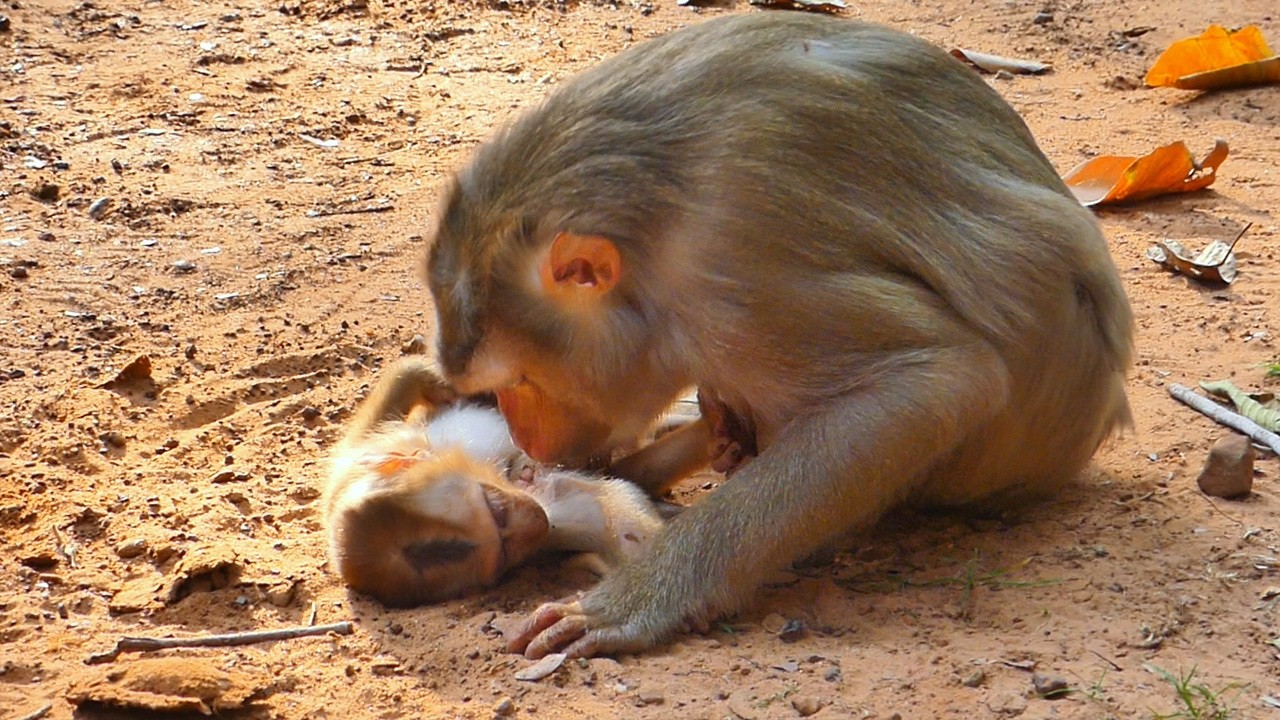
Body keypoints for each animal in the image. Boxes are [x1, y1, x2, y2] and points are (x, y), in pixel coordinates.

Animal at [423, 12, 1133, 659]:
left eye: (520, 381)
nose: (526, 439)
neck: (650, 234)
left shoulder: (730, 275)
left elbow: (942, 378)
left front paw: (640, 598)